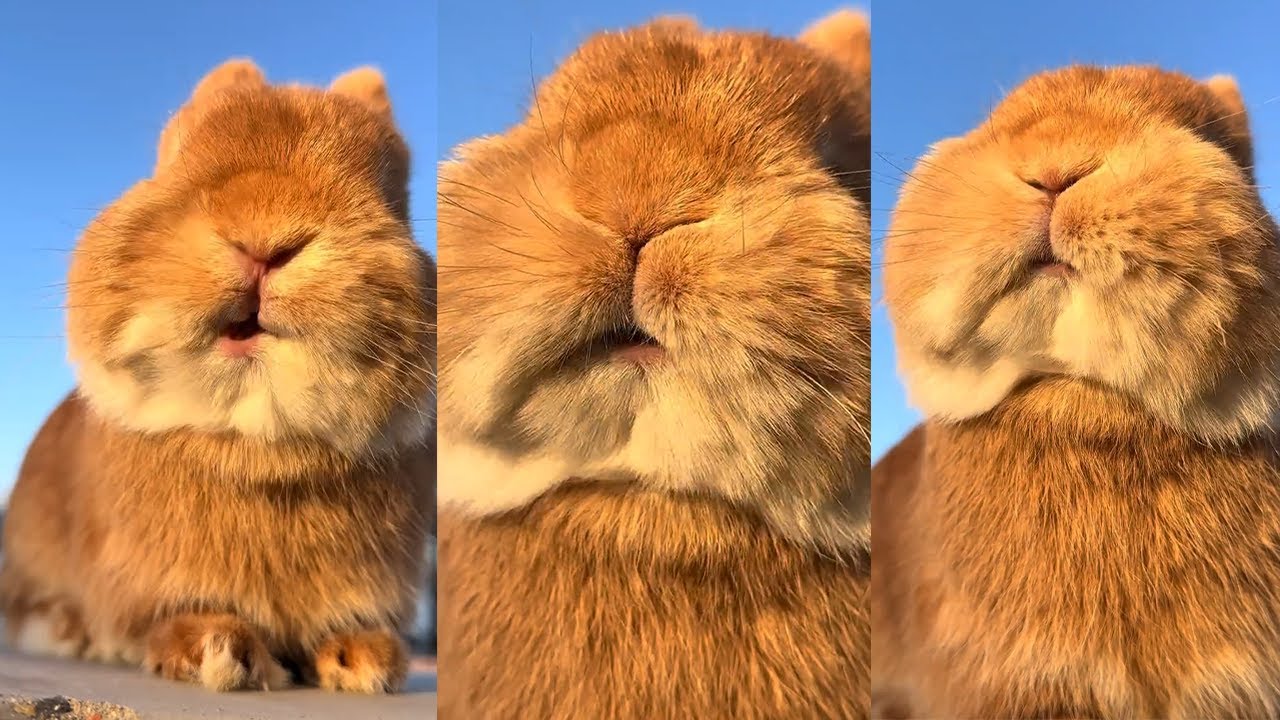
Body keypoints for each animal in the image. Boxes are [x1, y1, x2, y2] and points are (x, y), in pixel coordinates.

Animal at [0, 58, 437, 694]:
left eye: (388, 191)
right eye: (177, 156)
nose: (264, 242)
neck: (255, 438)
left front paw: (364, 661)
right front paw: (219, 649)